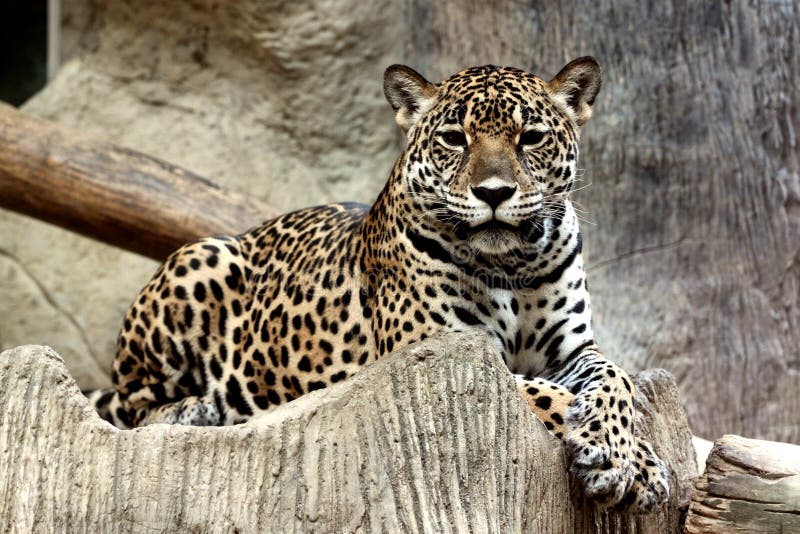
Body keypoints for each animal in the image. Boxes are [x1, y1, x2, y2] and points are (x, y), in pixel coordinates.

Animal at [88, 57, 669, 513]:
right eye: (454, 139)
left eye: (531, 138)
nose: (493, 193)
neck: (513, 264)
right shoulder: (436, 352)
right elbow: (543, 395)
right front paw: (633, 460)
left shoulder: (572, 349)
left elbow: (617, 379)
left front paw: (625, 452)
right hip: (201, 259)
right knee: (134, 403)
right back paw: (196, 409)